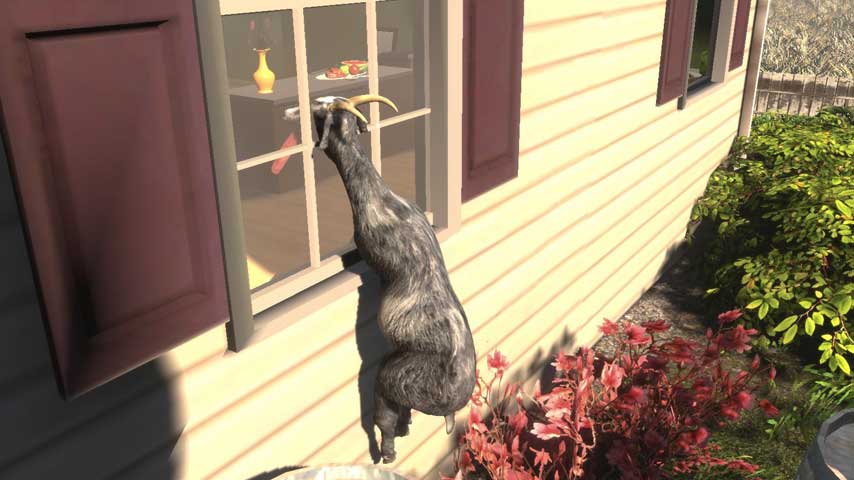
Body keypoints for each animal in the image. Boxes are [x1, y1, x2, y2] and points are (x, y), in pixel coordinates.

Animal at [285, 95, 476, 463]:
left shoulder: (369, 243)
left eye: (319, 111)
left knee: (384, 409)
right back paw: (405, 428)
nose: (292, 111)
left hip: (401, 375)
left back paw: (388, 450)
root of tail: (455, 402)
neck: (381, 197)